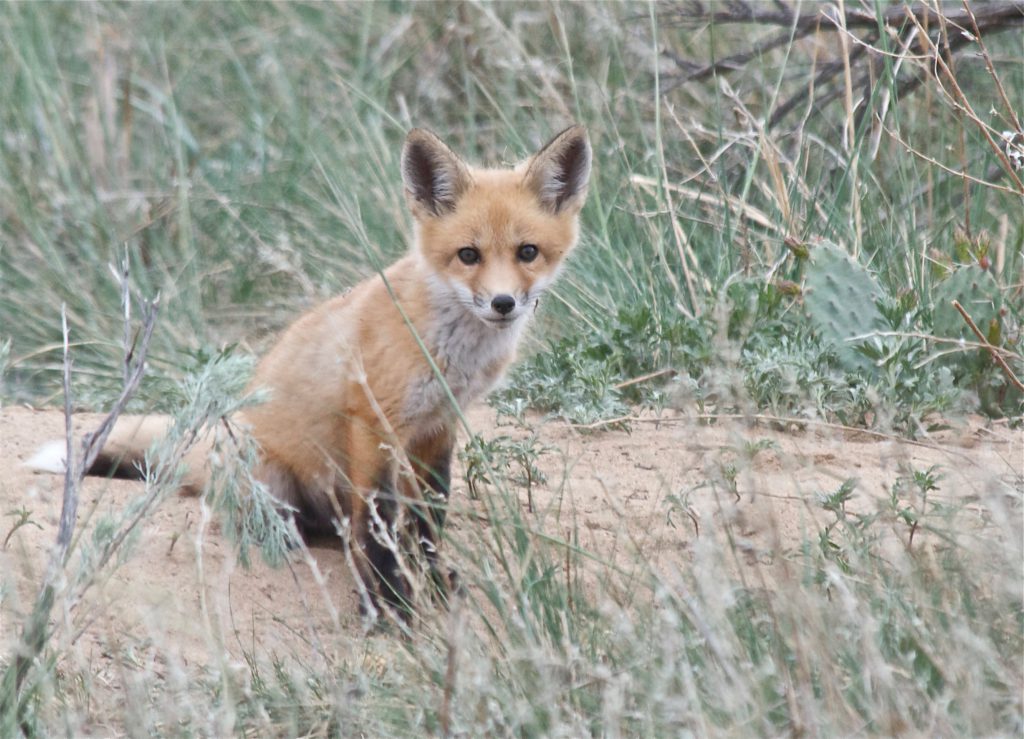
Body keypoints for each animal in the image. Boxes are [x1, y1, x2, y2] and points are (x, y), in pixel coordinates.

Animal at [29, 124, 592, 616]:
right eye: (468, 255)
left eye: (527, 252)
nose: (503, 304)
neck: (447, 349)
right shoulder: (373, 422)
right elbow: (378, 524)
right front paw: (389, 603)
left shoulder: (438, 426)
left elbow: (429, 519)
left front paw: (429, 580)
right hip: (270, 477)